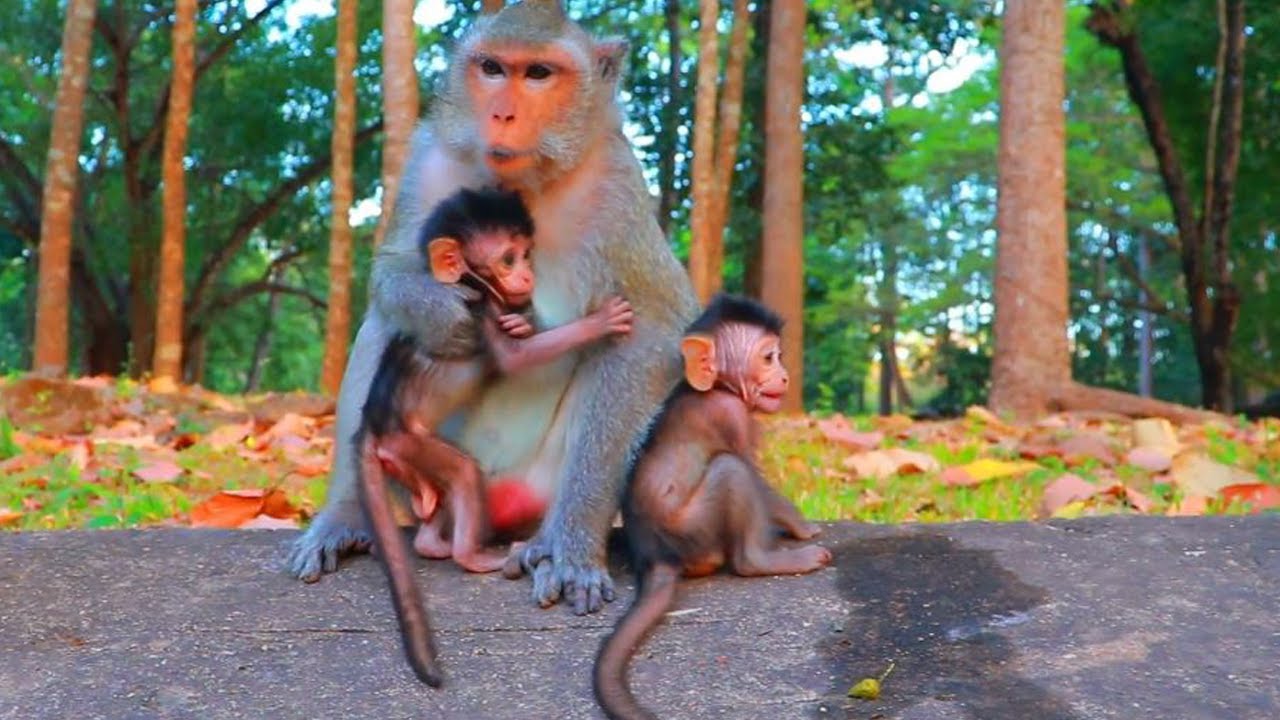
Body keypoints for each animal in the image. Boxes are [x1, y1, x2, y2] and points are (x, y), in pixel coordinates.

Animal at [287, 0, 699, 620]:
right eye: (492, 68)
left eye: (539, 74)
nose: (502, 113)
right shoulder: (428, 156)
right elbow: (391, 274)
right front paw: (441, 311)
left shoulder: (619, 187)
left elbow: (654, 329)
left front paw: (574, 548)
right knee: (383, 326)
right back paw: (348, 515)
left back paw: (547, 541)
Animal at [355, 186, 634, 686]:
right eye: (506, 258)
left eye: (525, 253)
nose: (526, 273)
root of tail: (373, 422)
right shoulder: (478, 306)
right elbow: (515, 359)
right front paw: (598, 323)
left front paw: (528, 320)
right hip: (409, 442)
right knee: (466, 472)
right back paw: (473, 555)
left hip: (407, 461)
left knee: (439, 492)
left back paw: (432, 538)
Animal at [592, 294, 832, 720]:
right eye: (769, 357)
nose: (785, 376)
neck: (716, 386)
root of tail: (657, 556)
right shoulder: (729, 413)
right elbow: (751, 470)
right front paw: (803, 527)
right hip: (693, 530)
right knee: (730, 469)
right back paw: (764, 560)